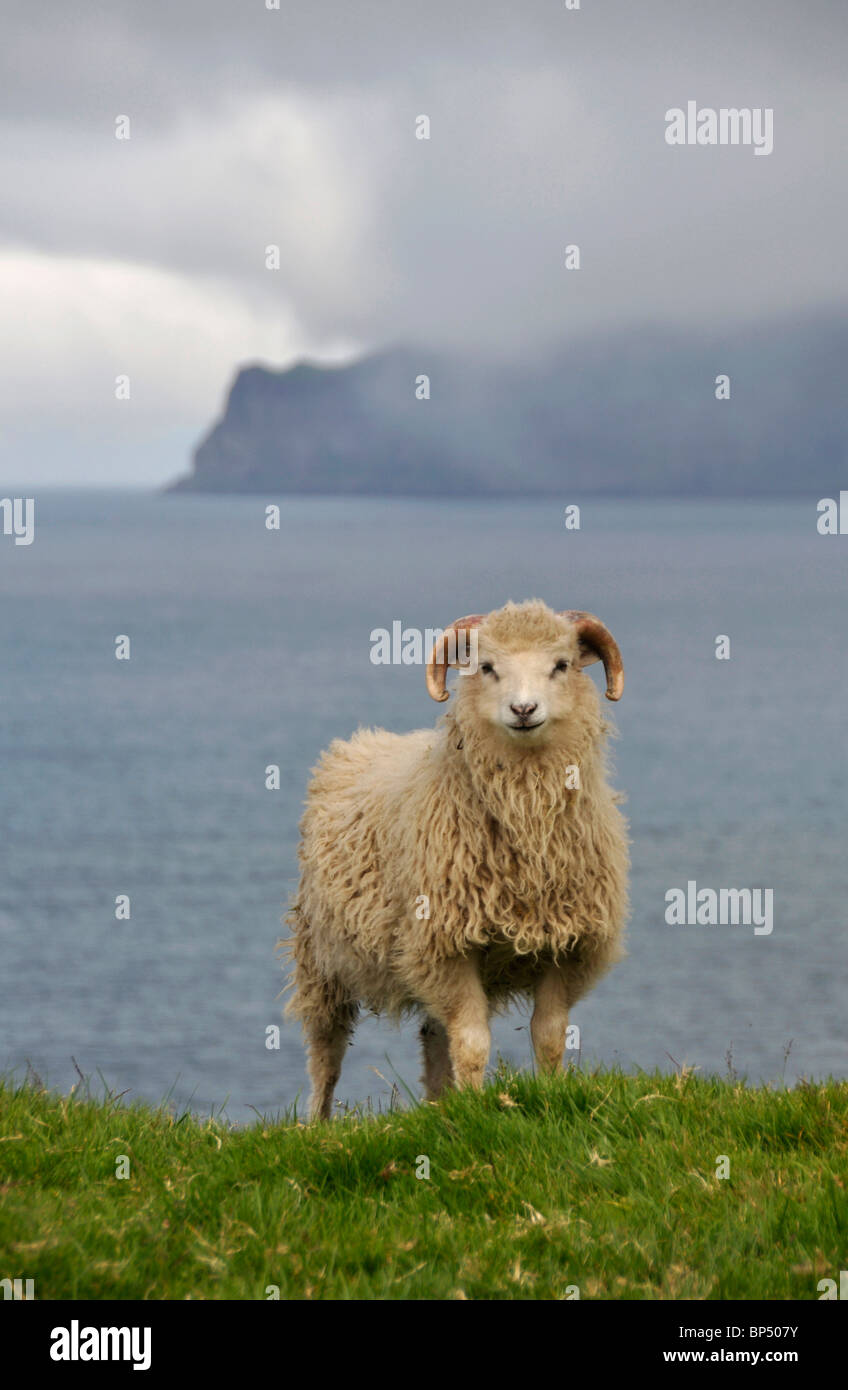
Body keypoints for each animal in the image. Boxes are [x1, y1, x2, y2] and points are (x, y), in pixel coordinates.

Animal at [282, 599, 629, 1120]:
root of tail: (360, 740)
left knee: (432, 1035)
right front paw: (476, 1109)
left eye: (561, 665)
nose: (523, 709)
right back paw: (318, 1123)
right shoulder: (446, 946)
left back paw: (438, 1104)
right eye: (486, 667)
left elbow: (548, 1036)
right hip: (322, 961)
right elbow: (472, 1041)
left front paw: (546, 1096)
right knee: (326, 1054)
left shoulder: (567, 947)